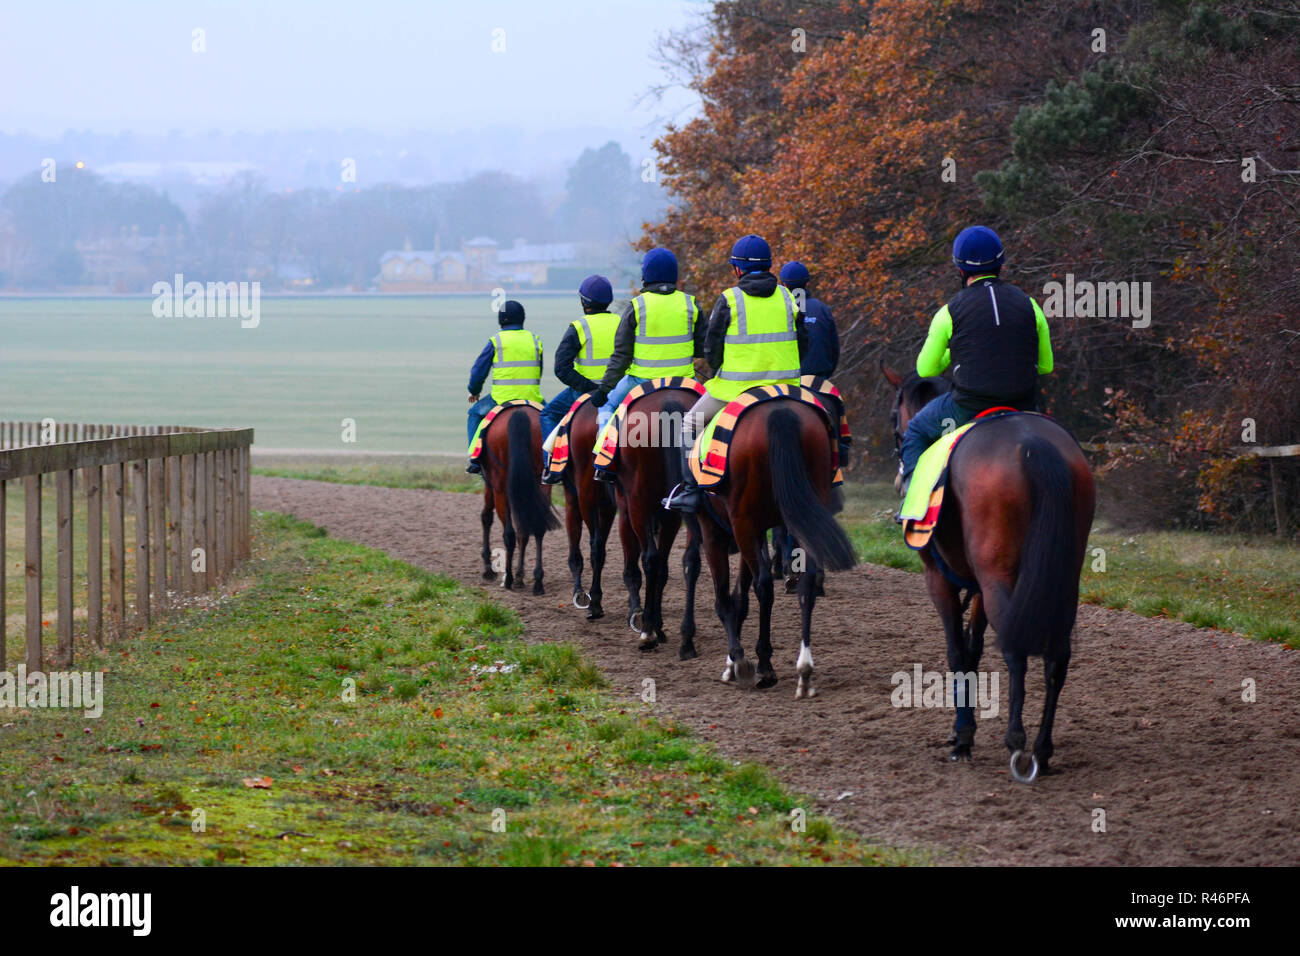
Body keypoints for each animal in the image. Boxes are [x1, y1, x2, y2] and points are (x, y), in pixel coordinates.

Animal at [478, 405, 558, 593]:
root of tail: (520, 414)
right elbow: (525, 532)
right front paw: (520, 576)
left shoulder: (490, 485)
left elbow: (486, 517)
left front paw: (488, 569)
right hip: (540, 483)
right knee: (537, 528)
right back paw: (537, 581)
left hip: (501, 487)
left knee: (508, 533)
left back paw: (508, 578)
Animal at [604, 387, 702, 658]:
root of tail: (670, 402)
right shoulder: (670, 513)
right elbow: (665, 569)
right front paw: (660, 625)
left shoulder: (626, 509)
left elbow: (636, 565)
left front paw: (643, 618)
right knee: (690, 560)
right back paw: (686, 639)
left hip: (639, 503)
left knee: (650, 559)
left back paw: (647, 632)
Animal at [695, 398, 856, 698]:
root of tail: (781, 412)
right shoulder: (754, 530)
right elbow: (740, 597)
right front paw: (733, 661)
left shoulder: (716, 530)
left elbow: (726, 598)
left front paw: (737, 661)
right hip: (803, 510)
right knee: (806, 584)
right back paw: (804, 670)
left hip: (743, 523)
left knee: (764, 586)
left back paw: (765, 668)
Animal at [882, 362, 1095, 780]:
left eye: (893, 417)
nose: (899, 478)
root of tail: (1034, 445)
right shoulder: (978, 586)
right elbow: (974, 648)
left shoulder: (940, 579)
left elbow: (956, 650)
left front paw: (963, 737)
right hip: (1062, 580)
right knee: (1057, 658)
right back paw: (1043, 749)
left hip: (999, 577)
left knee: (1016, 650)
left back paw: (1018, 745)